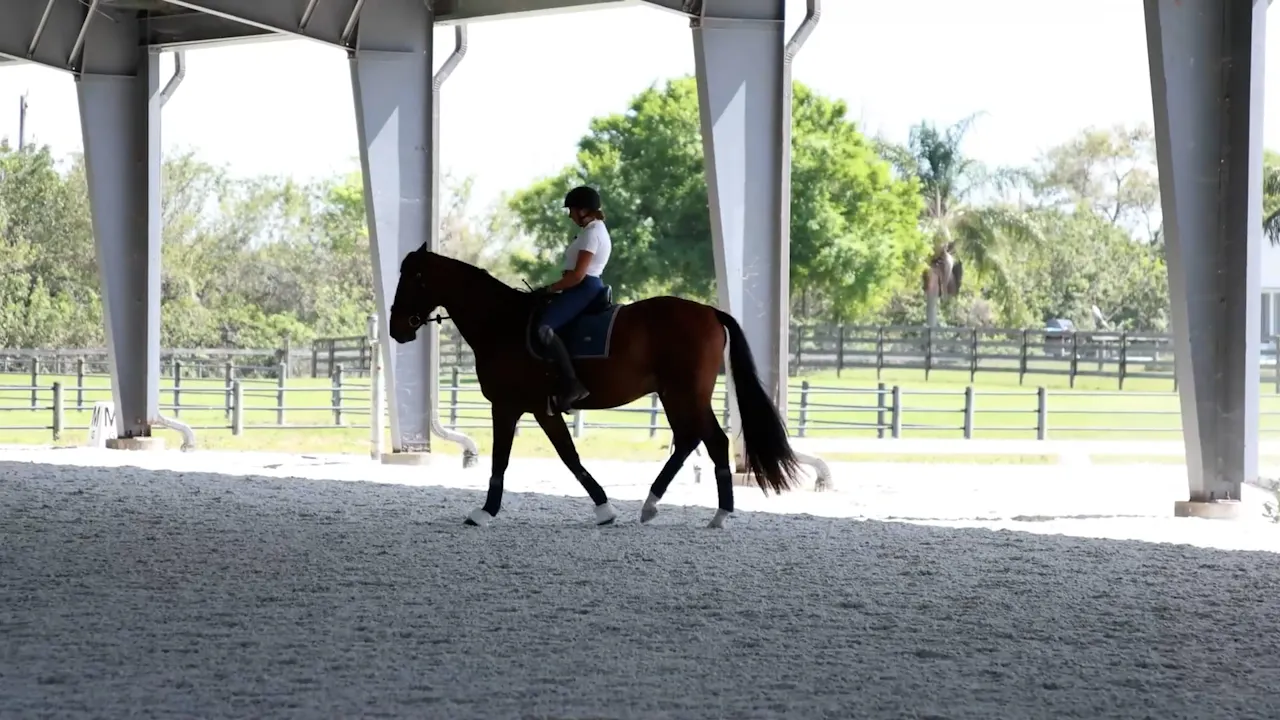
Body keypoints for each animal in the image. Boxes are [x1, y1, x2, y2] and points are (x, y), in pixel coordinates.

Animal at [386, 245, 807, 528]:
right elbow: (567, 456)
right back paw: (652, 505)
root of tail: (710, 312)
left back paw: (718, 514)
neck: (501, 324)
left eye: (414, 278)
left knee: (713, 440)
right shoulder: (536, 408)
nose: (397, 329)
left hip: (687, 394)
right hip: (675, 395)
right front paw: (604, 508)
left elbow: (515, 459)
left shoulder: (510, 405)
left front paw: (484, 512)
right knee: (690, 440)